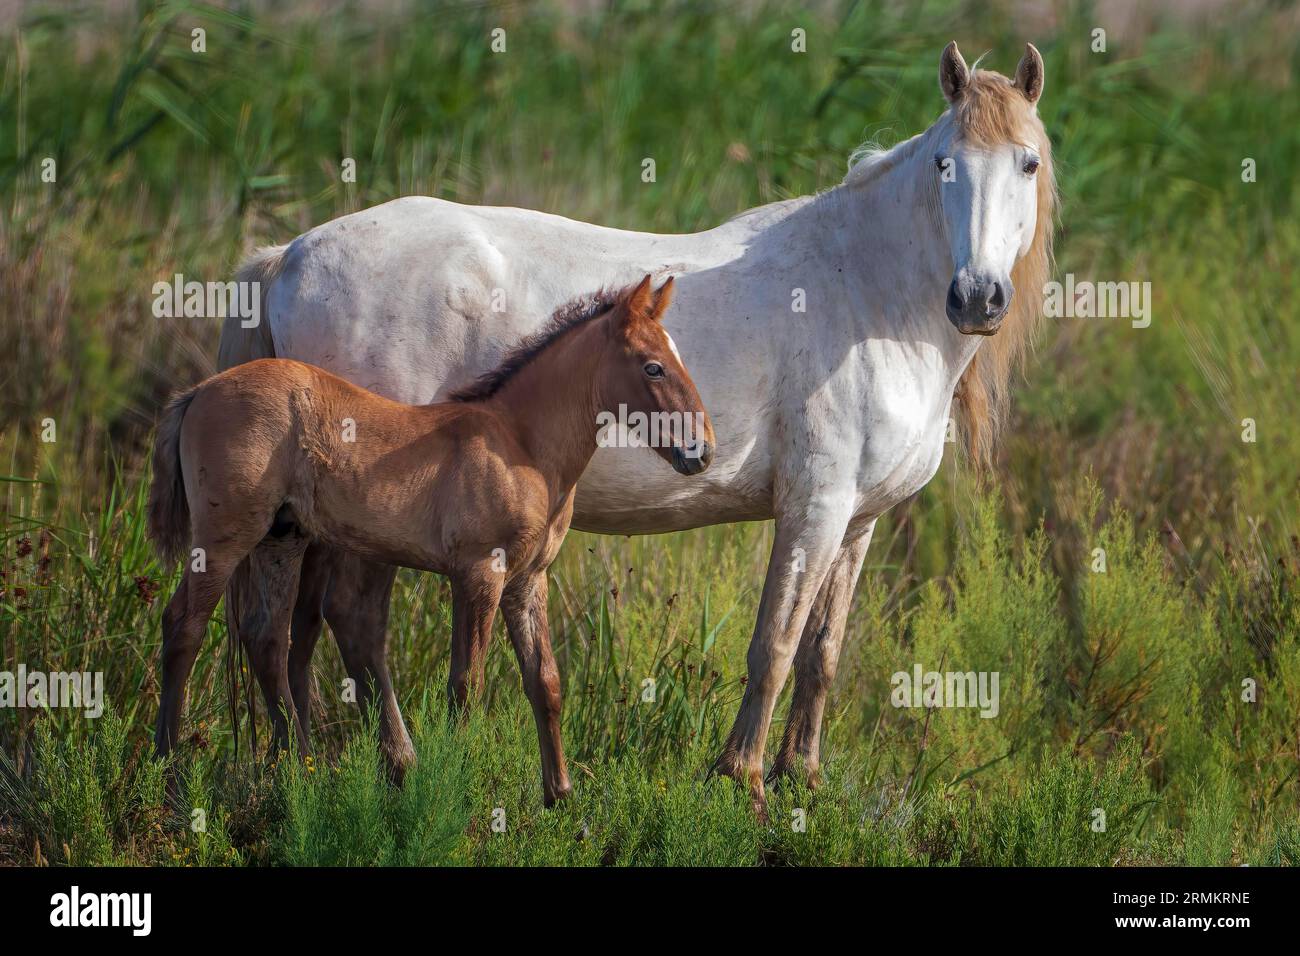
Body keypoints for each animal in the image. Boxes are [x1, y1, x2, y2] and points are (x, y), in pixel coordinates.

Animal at [150, 276, 712, 805]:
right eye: (653, 367)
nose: (701, 451)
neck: (523, 445)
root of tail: (197, 392)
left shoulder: (528, 580)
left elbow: (545, 682)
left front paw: (560, 797)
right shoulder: (480, 573)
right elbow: (467, 684)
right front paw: (457, 788)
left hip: (281, 539)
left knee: (266, 635)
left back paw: (301, 773)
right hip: (225, 538)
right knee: (184, 627)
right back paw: (169, 775)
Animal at [218, 42, 1056, 817]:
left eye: (1027, 163)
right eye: (945, 164)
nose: (977, 297)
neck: (868, 294)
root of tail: (289, 256)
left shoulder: (858, 522)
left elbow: (821, 653)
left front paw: (805, 779)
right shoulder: (814, 509)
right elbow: (775, 645)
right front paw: (744, 780)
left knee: (293, 628)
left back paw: (312, 764)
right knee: (346, 620)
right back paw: (391, 764)